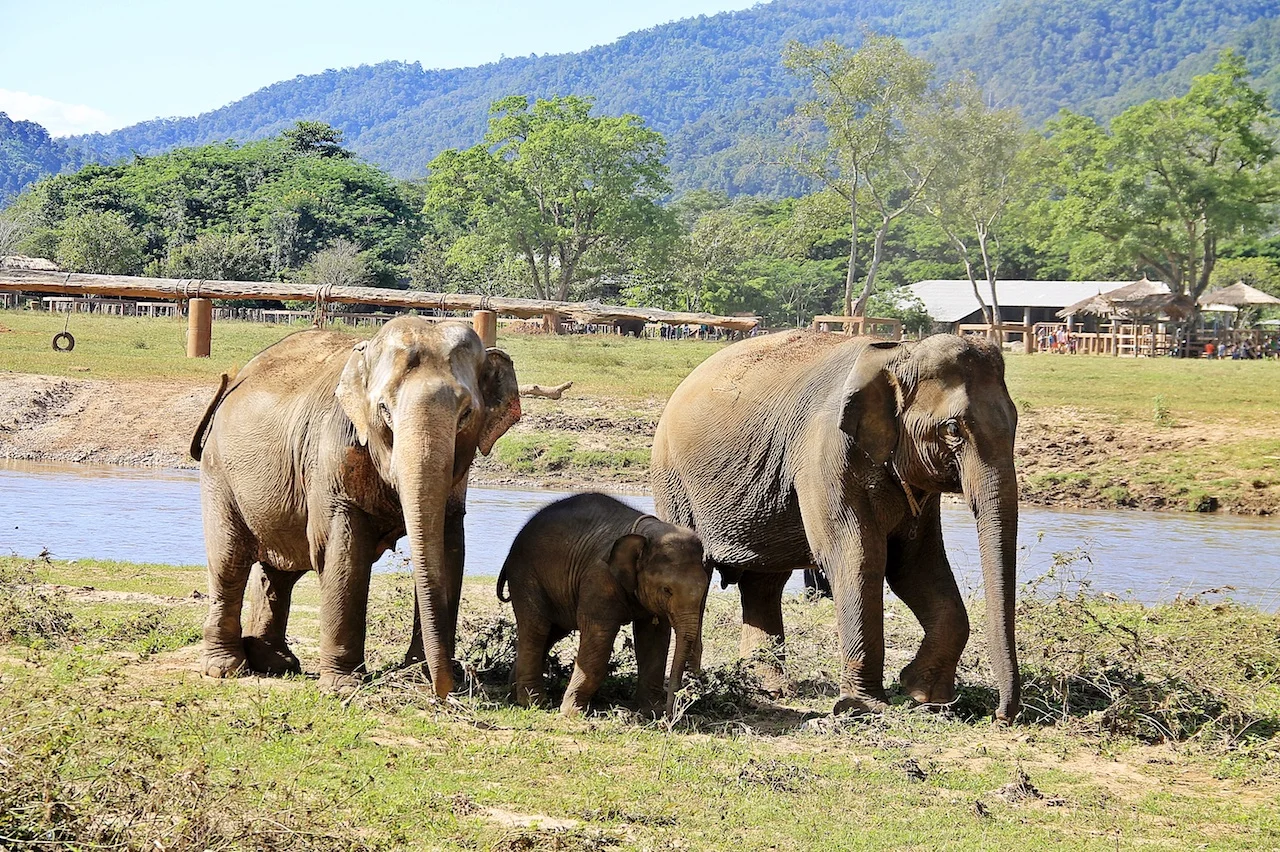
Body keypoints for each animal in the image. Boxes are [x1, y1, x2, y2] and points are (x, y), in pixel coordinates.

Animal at [190, 317, 521, 696]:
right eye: (384, 410)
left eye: (466, 414)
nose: (445, 688)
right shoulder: (333, 452)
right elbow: (342, 553)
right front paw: (343, 686)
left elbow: (449, 550)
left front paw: (419, 676)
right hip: (219, 474)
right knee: (229, 561)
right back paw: (226, 667)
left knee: (279, 571)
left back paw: (275, 663)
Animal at [496, 492, 710, 717]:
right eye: (667, 590)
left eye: (705, 588)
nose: (671, 714)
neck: (645, 533)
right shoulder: (598, 578)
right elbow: (599, 634)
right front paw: (573, 712)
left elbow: (654, 638)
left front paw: (651, 710)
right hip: (525, 576)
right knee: (536, 628)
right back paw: (533, 701)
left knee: (552, 631)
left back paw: (515, 694)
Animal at [650, 331, 1020, 721]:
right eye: (952, 429)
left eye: (1015, 422)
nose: (1001, 715)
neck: (899, 354)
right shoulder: (824, 451)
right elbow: (858, 556)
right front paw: (863, 708)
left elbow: (916, 565)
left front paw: (924, 695)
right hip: (674, 482)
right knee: (700, 573)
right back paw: (692, 691)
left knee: (764, 583)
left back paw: (768, 688)